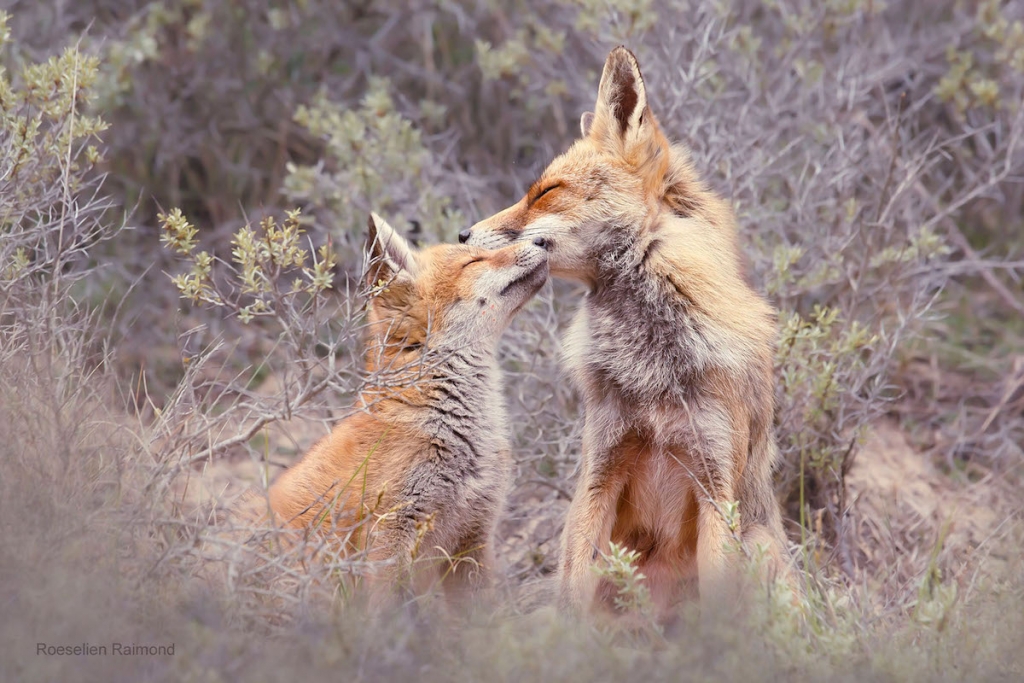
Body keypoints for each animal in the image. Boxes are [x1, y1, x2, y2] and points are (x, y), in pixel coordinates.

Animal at [460, 47, 793, 619]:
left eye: (546, 191)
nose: (461, 235)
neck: (651, 364)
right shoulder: (599, 470)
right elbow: (573, 592)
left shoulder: (715, 485)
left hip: (758, 544)